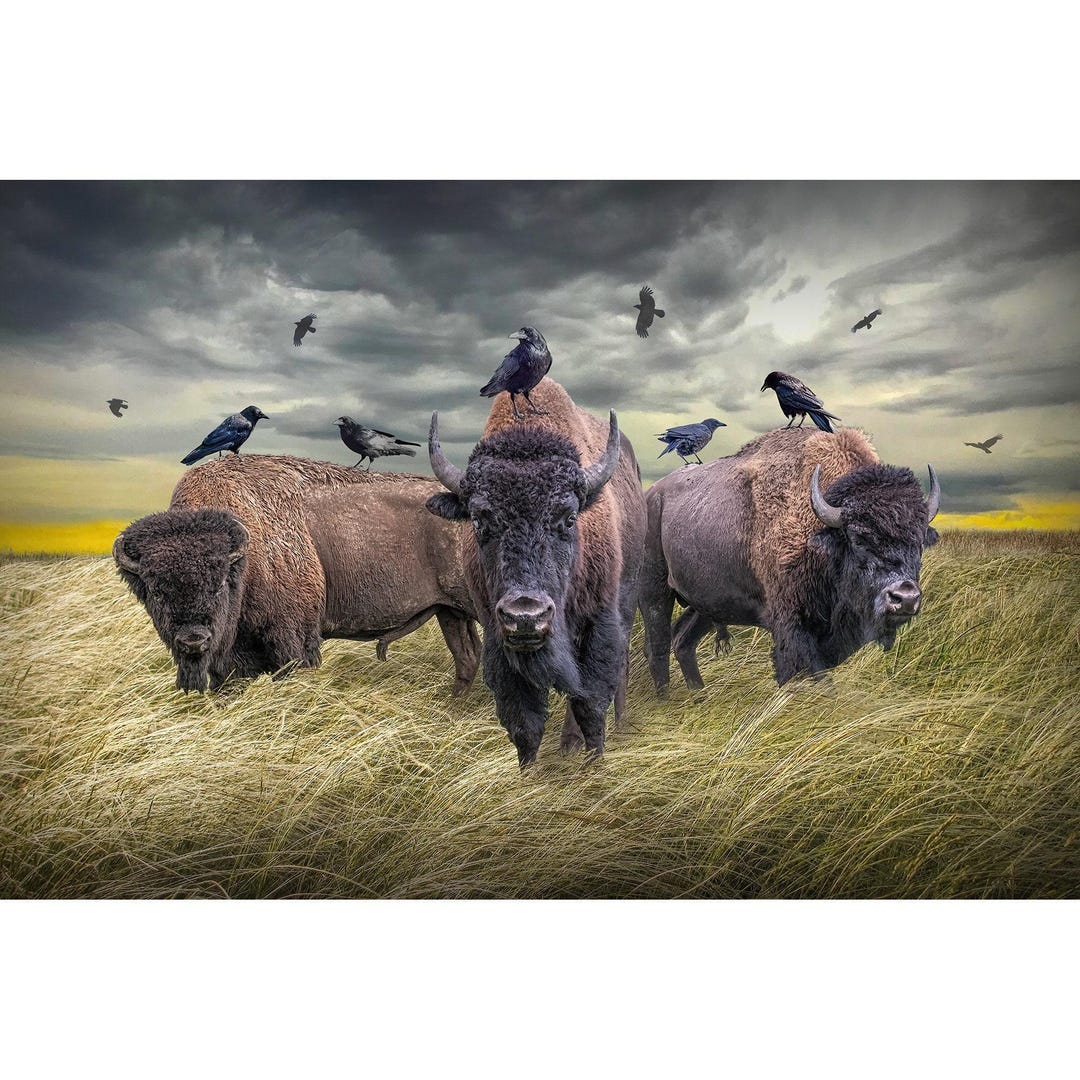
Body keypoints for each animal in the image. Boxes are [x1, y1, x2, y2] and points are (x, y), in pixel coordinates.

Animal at [114, 454, 480, 695]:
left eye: (218, 585)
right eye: (156, 591)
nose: (193, 639)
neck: (245, 558)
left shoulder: (292, 641)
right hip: (450, 612)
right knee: (467, 659)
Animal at [426, 378, 647, 767]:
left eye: (569, 518)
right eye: (479, 520)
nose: (526, 615)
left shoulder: (599, 621)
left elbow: (590, 702)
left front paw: (592, 760)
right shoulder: (497, 634)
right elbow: (523, 721)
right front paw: (528, 769)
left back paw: (608, 728)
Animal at [639, 427, 940, 689]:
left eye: (919, 541)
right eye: (857, 538)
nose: (905, 598)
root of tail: (651, 494)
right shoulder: (790, 623)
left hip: (707, 602)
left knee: (682, 640)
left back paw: (698, 695)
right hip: (654, 593)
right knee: (658, 646)